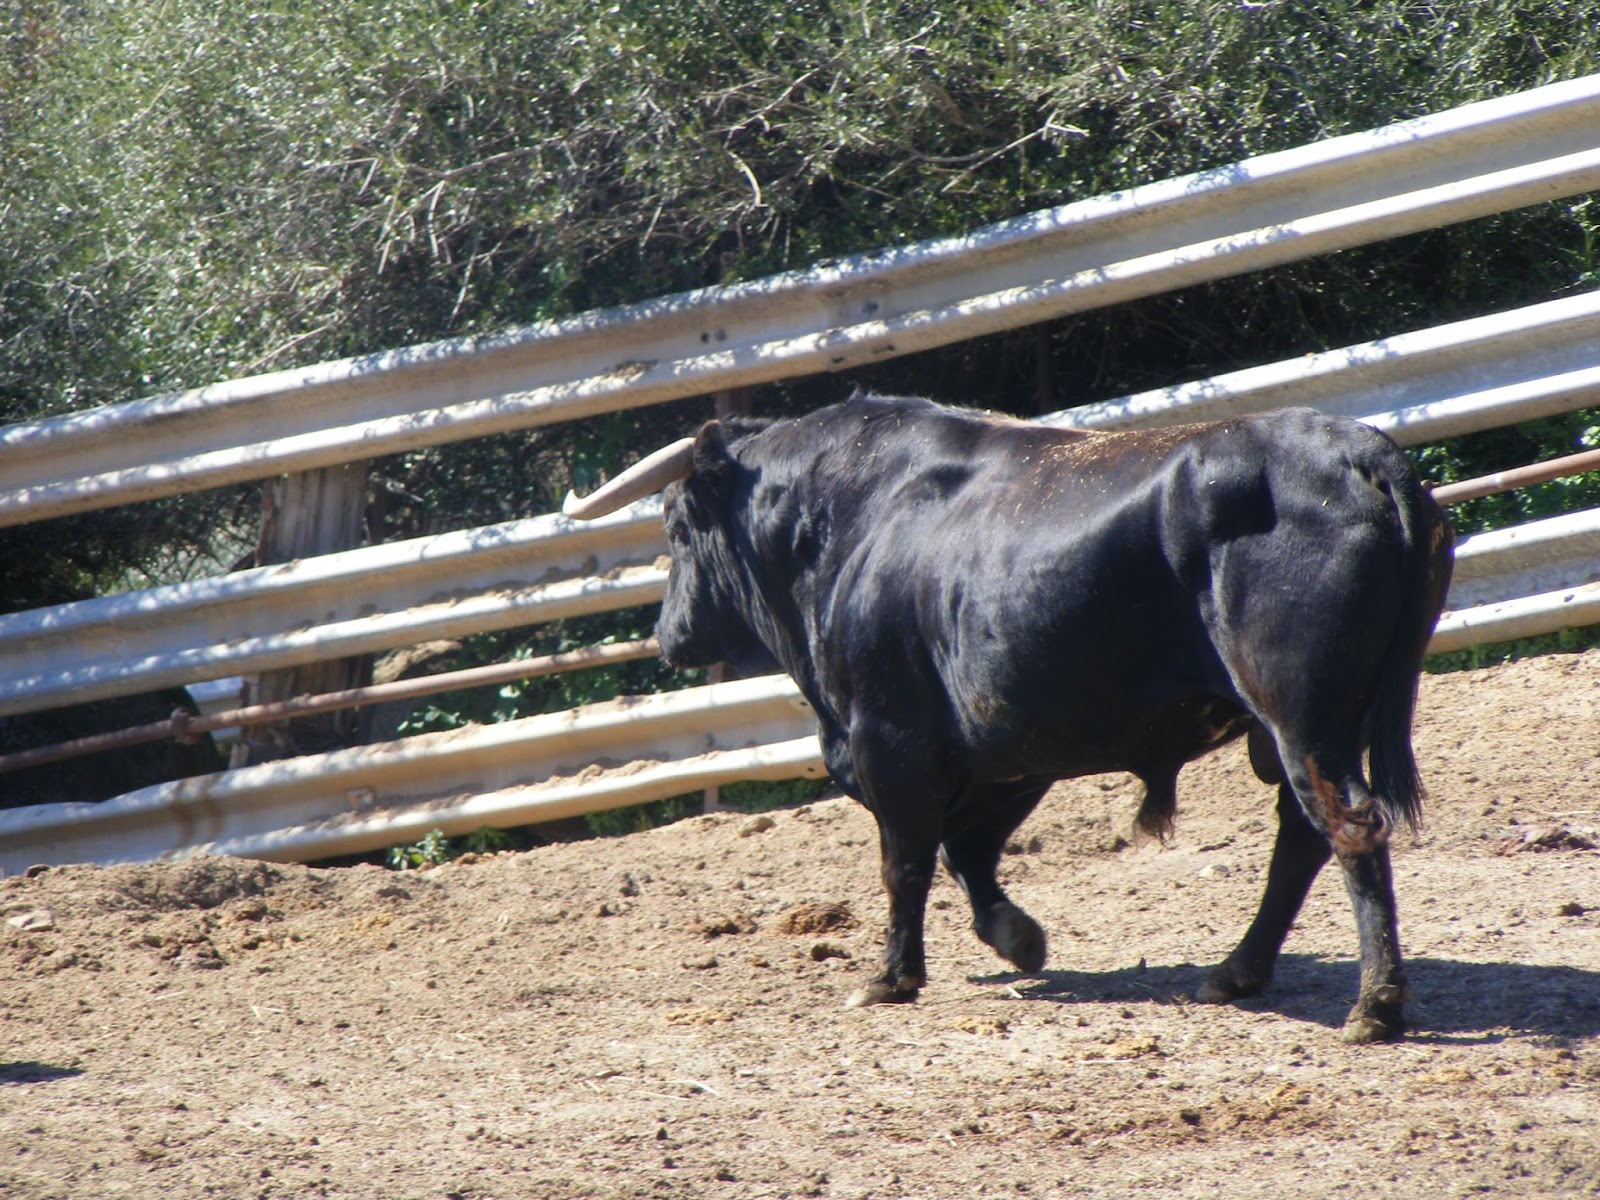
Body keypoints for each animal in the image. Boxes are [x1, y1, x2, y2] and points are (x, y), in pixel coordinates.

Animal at [564, 394, 1454, 1043]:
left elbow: (907, 863)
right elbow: (968, 854)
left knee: (1348, 830)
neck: (852, 522)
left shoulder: (890, 741)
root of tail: (1359, 453)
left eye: (678, 527)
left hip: (1302, 718)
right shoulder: (1007, 750)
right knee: (1302, 840)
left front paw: (890, 978)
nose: (669, 634)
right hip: (1303, 728)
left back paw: (1374, 1005)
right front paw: (1018, 937)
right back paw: (1237, 972)